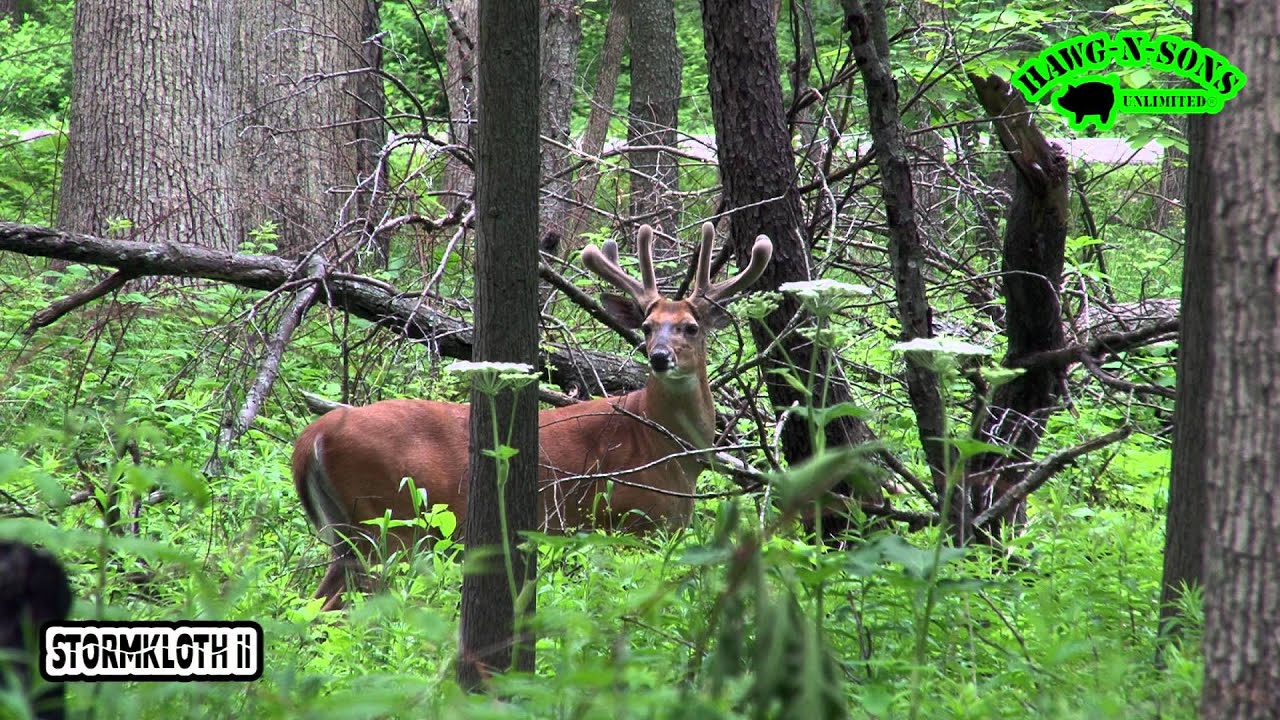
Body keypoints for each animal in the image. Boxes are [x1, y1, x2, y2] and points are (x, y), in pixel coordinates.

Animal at [292, 223, 773, 610]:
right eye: (647, 326)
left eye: (690, 327)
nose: (658, 357)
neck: (665, 446)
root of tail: (312, 437)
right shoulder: (626, 521)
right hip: (386, 523)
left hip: (348, 532)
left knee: (316, 604)